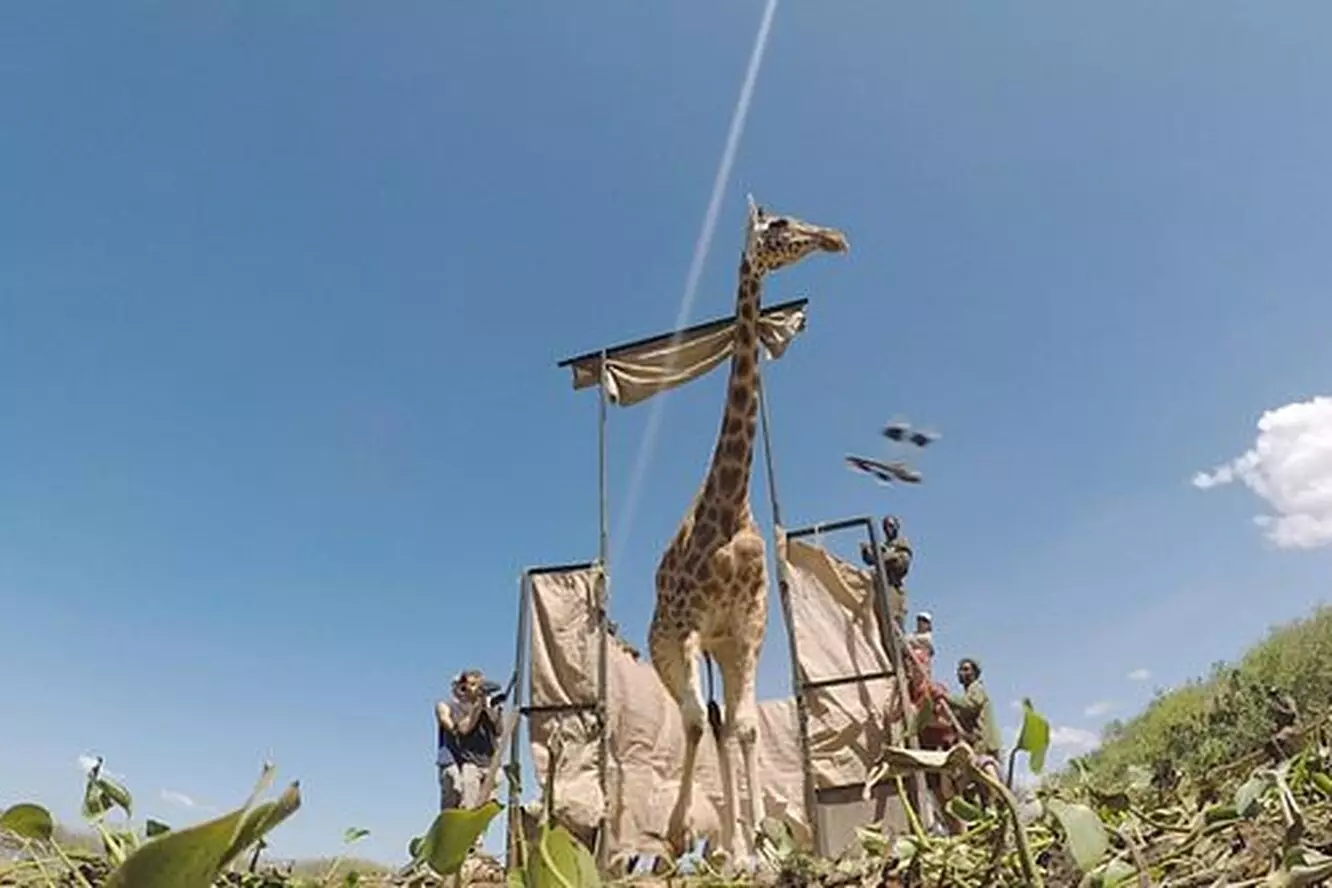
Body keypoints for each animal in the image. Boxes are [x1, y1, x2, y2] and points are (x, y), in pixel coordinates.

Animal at [650, 194, 847, 862]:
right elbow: (695, 722)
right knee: (698, 719)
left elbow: (748, 727)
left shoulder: (749, 626)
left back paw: (741, 840)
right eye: (780, 222)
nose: (835, 236)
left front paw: (757, 845)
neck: (729, 505)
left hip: (725, 649)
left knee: (723, 722)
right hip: (668, 646)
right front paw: (686, 834)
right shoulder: (686, 625)